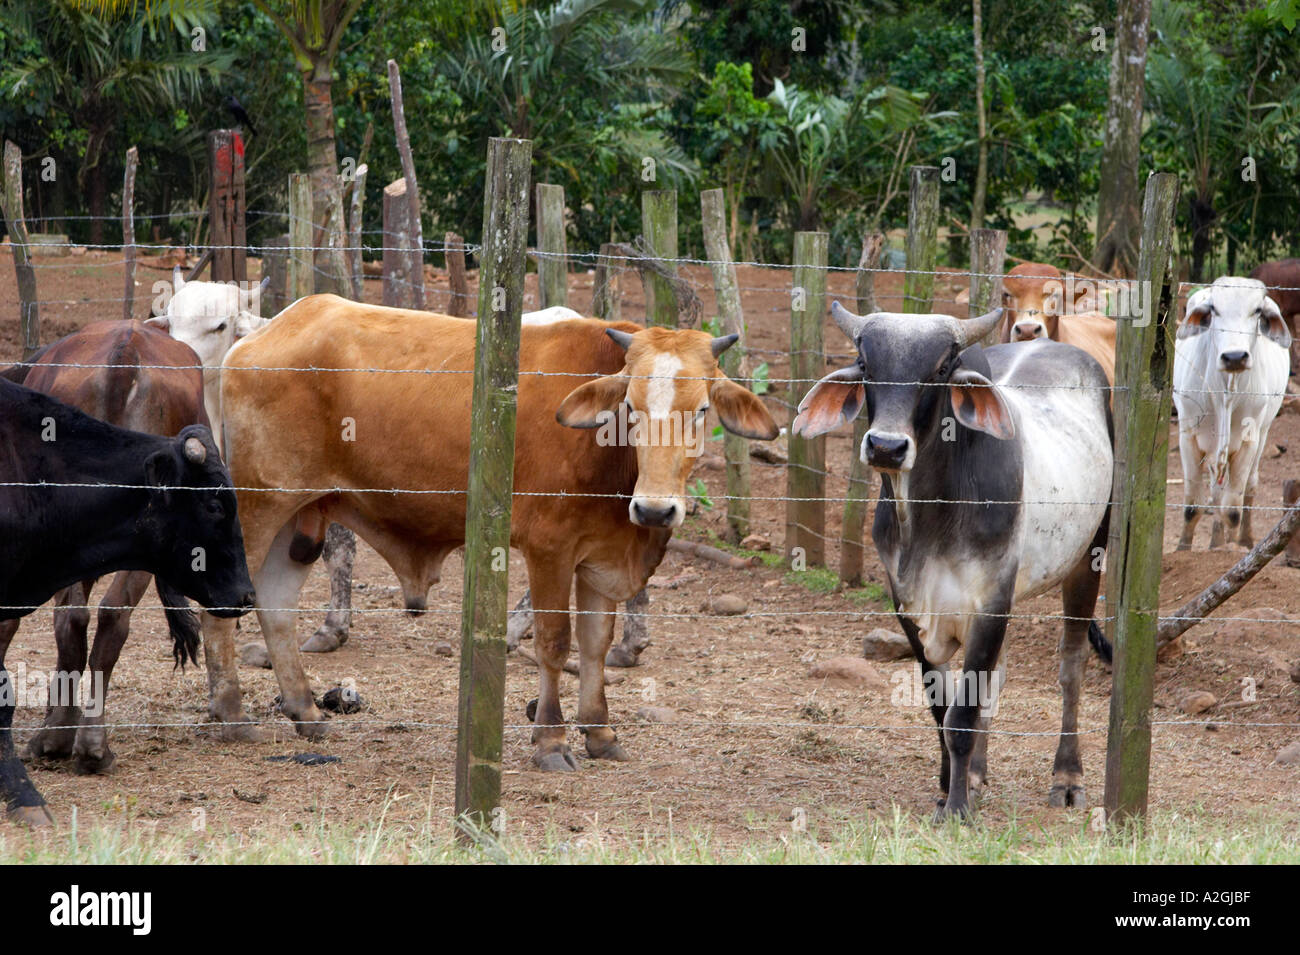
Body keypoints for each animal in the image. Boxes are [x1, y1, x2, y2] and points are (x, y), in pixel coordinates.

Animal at [197, 294, 776, 770]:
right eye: (630, 407)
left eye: (702, 410)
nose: (655, 510)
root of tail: (258, 336)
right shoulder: (549, 550)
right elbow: (554, 642)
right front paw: (551, 742)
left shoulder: (599, 558)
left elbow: (595, 645)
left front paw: (601, 733)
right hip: (258, 507)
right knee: (219, 604)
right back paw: (232, 715)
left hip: (300, 512)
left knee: (274, 604)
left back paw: (306, 711)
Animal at [793, 303, 1113, 819]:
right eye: (865, 363)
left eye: (941, 369)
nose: (886, 447)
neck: (929, 516)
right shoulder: (907, 605)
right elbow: (944, 707)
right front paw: (952, 787)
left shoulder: (990, 603)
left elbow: (962, 714)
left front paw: (958, 809)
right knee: (995, 682)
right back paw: (978, 774)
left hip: (1089, 559)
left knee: (1071, 669)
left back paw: (1067, 778)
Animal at [1173, 276, 1291, 550]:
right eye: (1214, 308)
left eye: (1257, 310)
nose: (1235, 357)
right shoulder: (1188, 437)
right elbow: (1192, 506)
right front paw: (1183, 549)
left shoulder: (1249, 440)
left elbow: (1232, 510)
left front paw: (1231, 550)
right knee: (1216, 494)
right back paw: (1216, 542)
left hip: (1263, 432)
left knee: (1249, 486)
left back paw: (1242, 540)